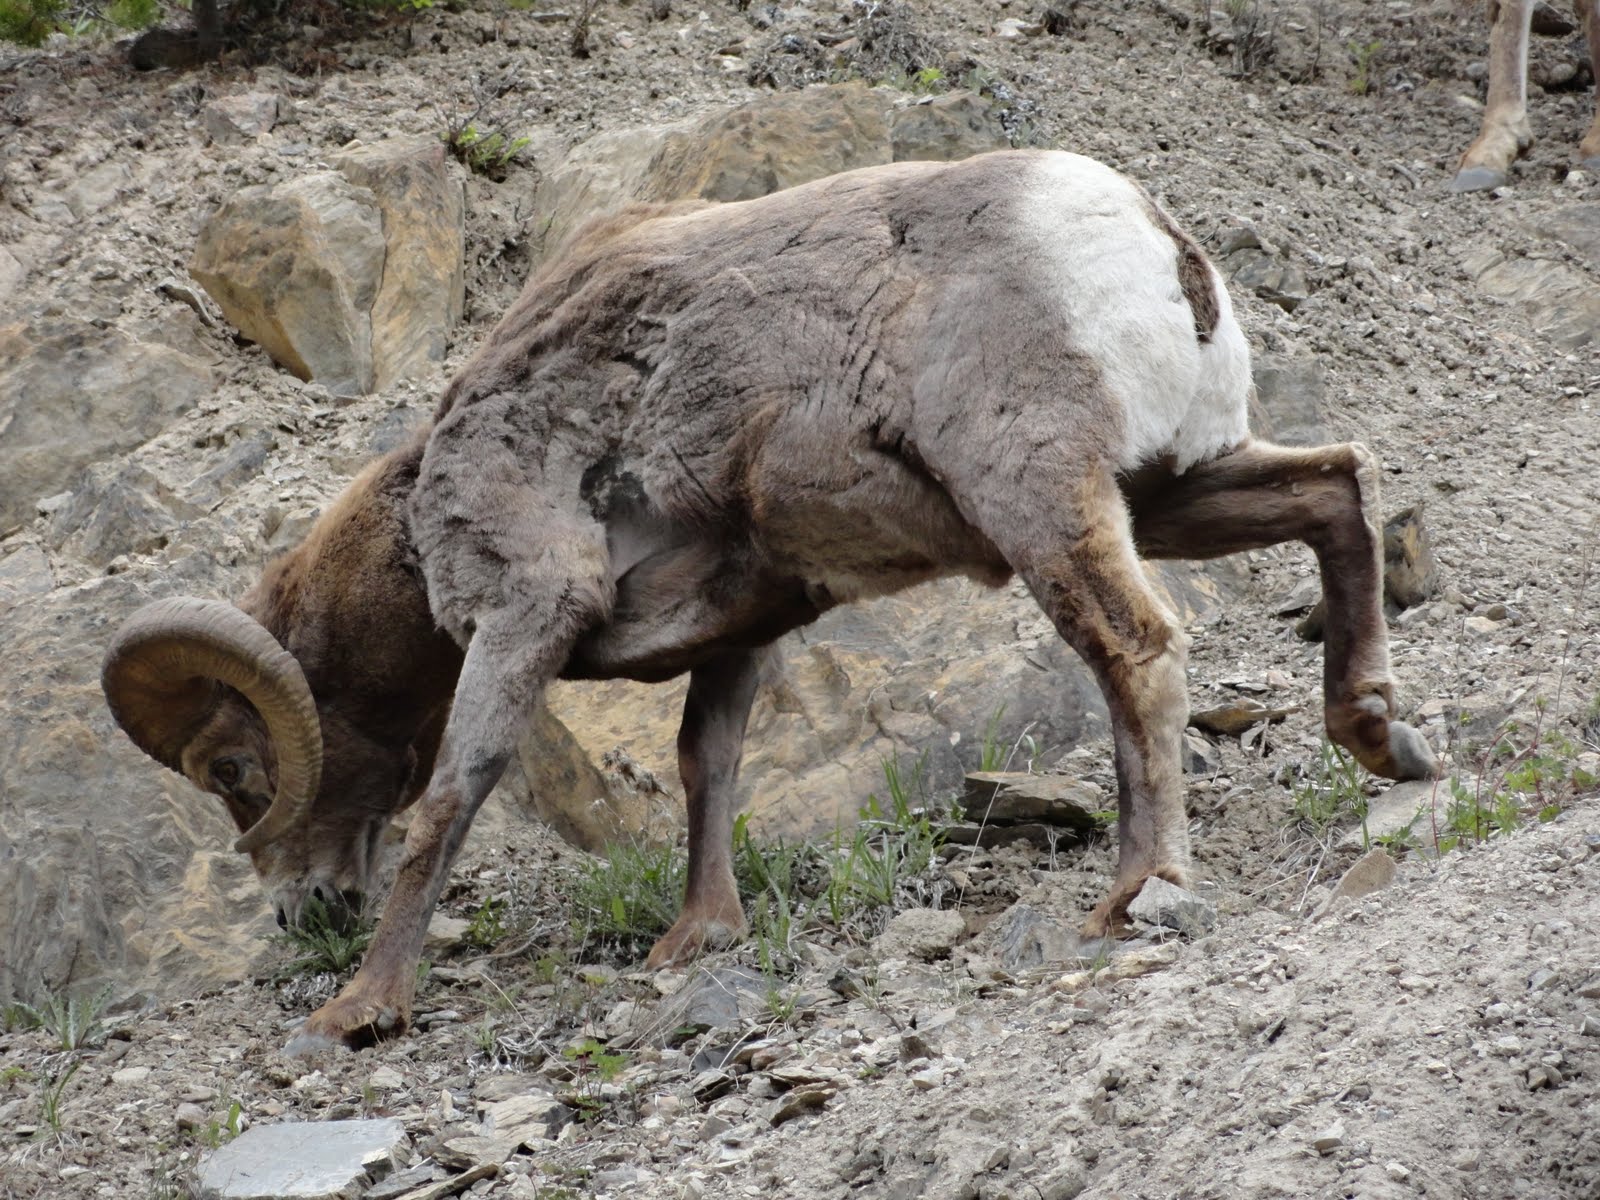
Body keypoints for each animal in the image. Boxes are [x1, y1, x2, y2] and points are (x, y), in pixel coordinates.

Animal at [103, 149, 1438, 1053]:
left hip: (1049, 506)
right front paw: (699, 940)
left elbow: (449, 801)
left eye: (234, 770)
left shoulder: (525, 618)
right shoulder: (742, 626)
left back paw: (1139, 889)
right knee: (1336, 489)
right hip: (1168, 486)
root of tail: (1153, 242)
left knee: (1139, 648)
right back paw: (1382, 740)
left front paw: (361, 1010)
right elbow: (709, 765)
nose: (305, 918)